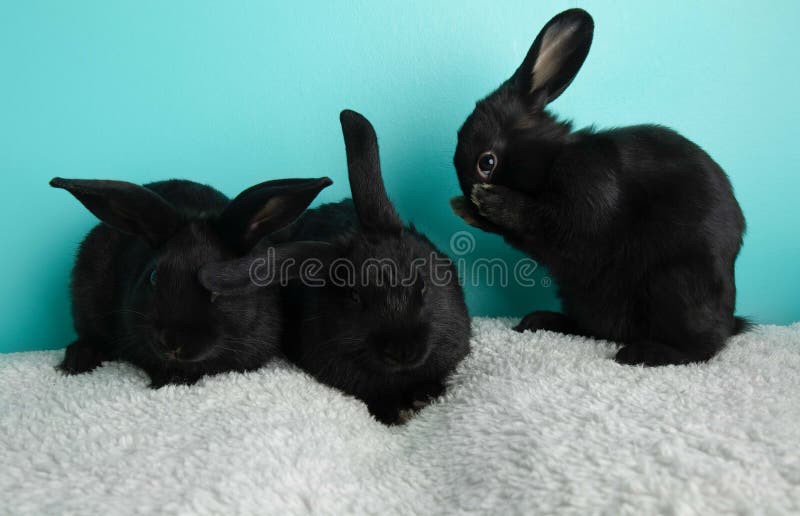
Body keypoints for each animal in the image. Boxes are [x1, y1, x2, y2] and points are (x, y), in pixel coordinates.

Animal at [450, 8, 749, 366]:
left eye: (487, 162)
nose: (468, 195)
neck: (554, 157)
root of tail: (730, 318)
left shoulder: (584, 200)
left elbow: (542, 218)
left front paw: (489, 199)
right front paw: (464, 207)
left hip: (676, 283)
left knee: (703, 346)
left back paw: (640, 353)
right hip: (582, 297)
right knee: (596, 328)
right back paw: (541, 320)